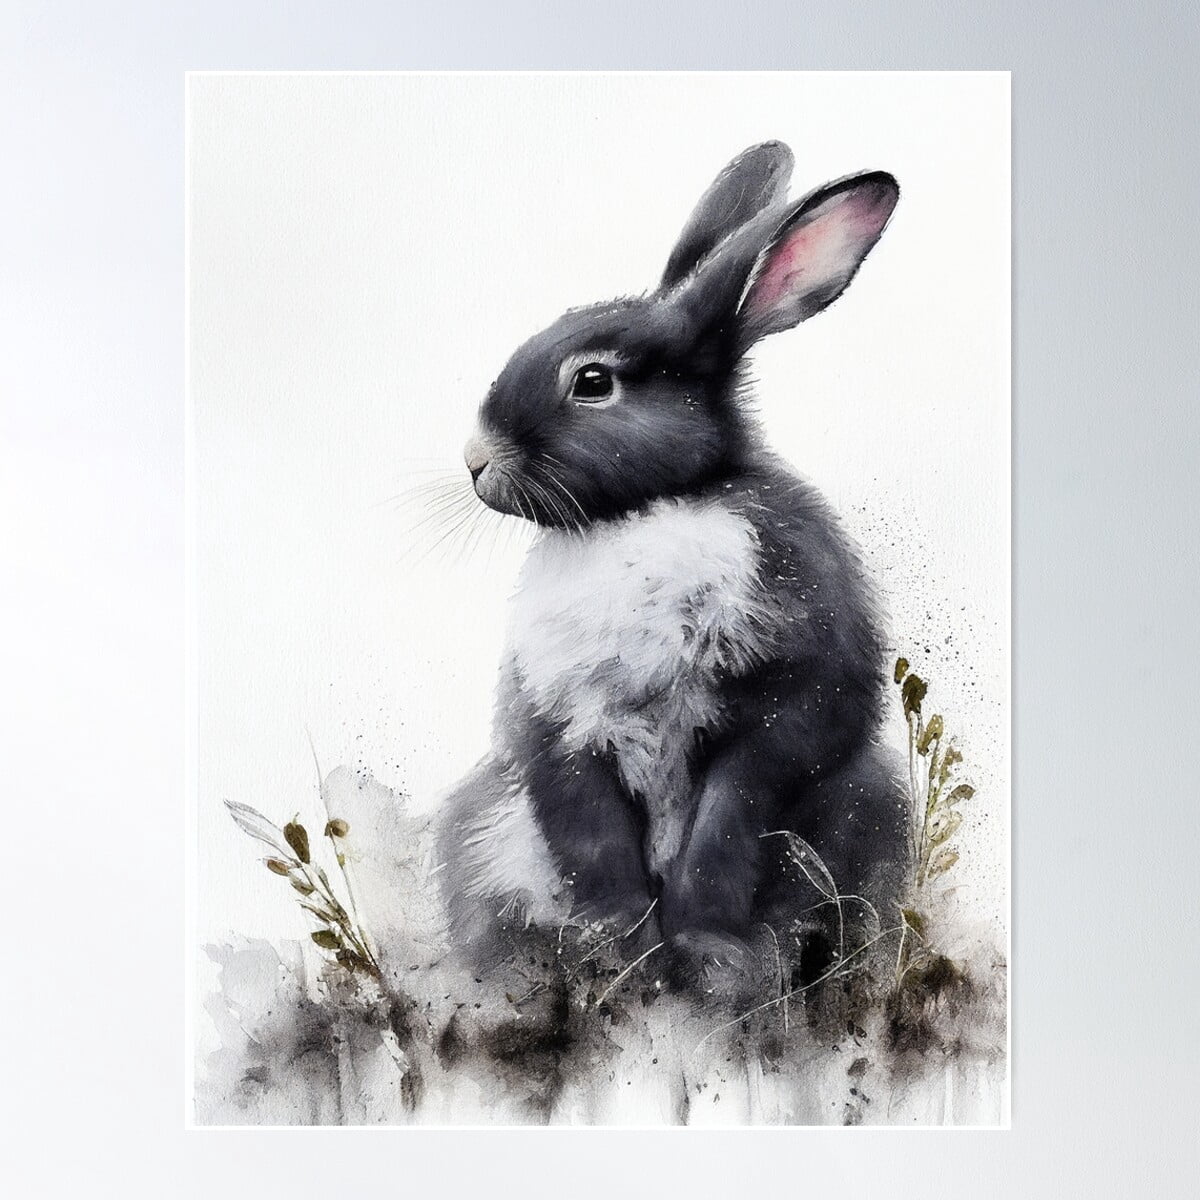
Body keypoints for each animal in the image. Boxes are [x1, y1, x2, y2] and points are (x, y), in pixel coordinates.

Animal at [435, 141, 910, 992]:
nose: (475, 460)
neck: (645, 512)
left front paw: (700, 938)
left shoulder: (791, 705)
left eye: (593, 381)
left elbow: (732, 814)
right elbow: (589, 837)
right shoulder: (558, 733)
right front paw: (622, 949)